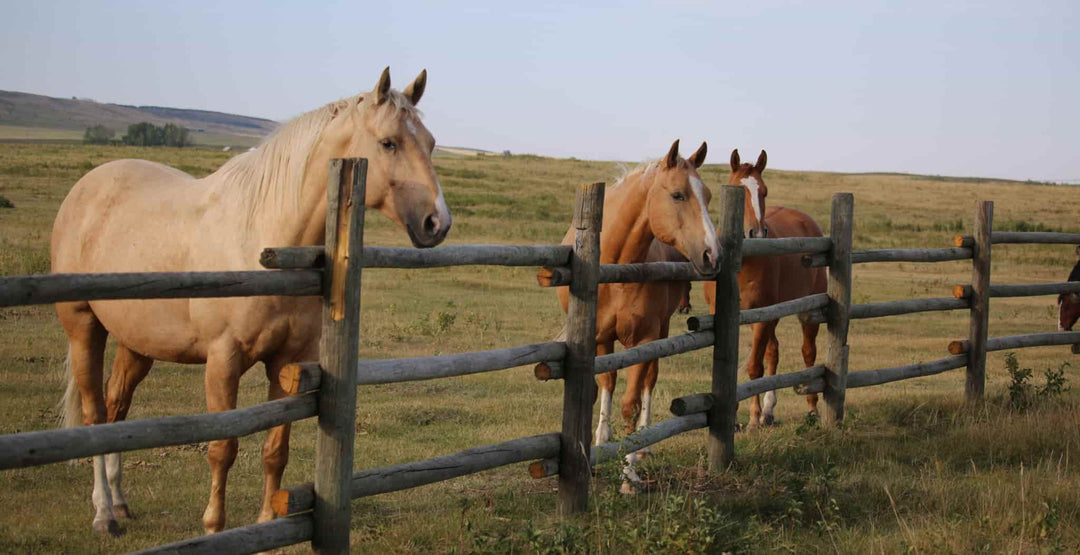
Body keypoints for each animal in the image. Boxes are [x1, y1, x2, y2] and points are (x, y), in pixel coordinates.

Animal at [50, 67, 451, 536]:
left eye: (431, 142)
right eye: (389, 142)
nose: (438, 222)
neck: (262, 235)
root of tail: (87, 186)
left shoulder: (287, 360)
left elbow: (275, 447)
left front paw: (266, 522)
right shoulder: (223, 360)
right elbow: (223, 446)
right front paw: (214, 527)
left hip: (137, 342)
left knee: (117, 408)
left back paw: (120, 502)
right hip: (83, 327)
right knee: (95, 414)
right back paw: (104, 513)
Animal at [553, 140, 718, 491]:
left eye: (709, 196)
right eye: (678, 195)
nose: (712, 254)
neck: (615, 265)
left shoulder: (642, 340)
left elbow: (632, 404)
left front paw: (628, 475)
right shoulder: (596, 338)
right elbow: (598, 389)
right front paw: (592, 453)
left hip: (660, 333)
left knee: (649, 382)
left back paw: (645, 447)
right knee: (611, 383)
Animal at [703, 149, 826, 429]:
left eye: (764, 192)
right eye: (739, 188)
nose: (756, 232)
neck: (743, 260)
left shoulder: (761, 316)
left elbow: (753, 367)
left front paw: (752, 417)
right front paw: (741, 415)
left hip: (806, 313)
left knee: (808, 353)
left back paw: (811, 409)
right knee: (774, 351)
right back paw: (770, 410)